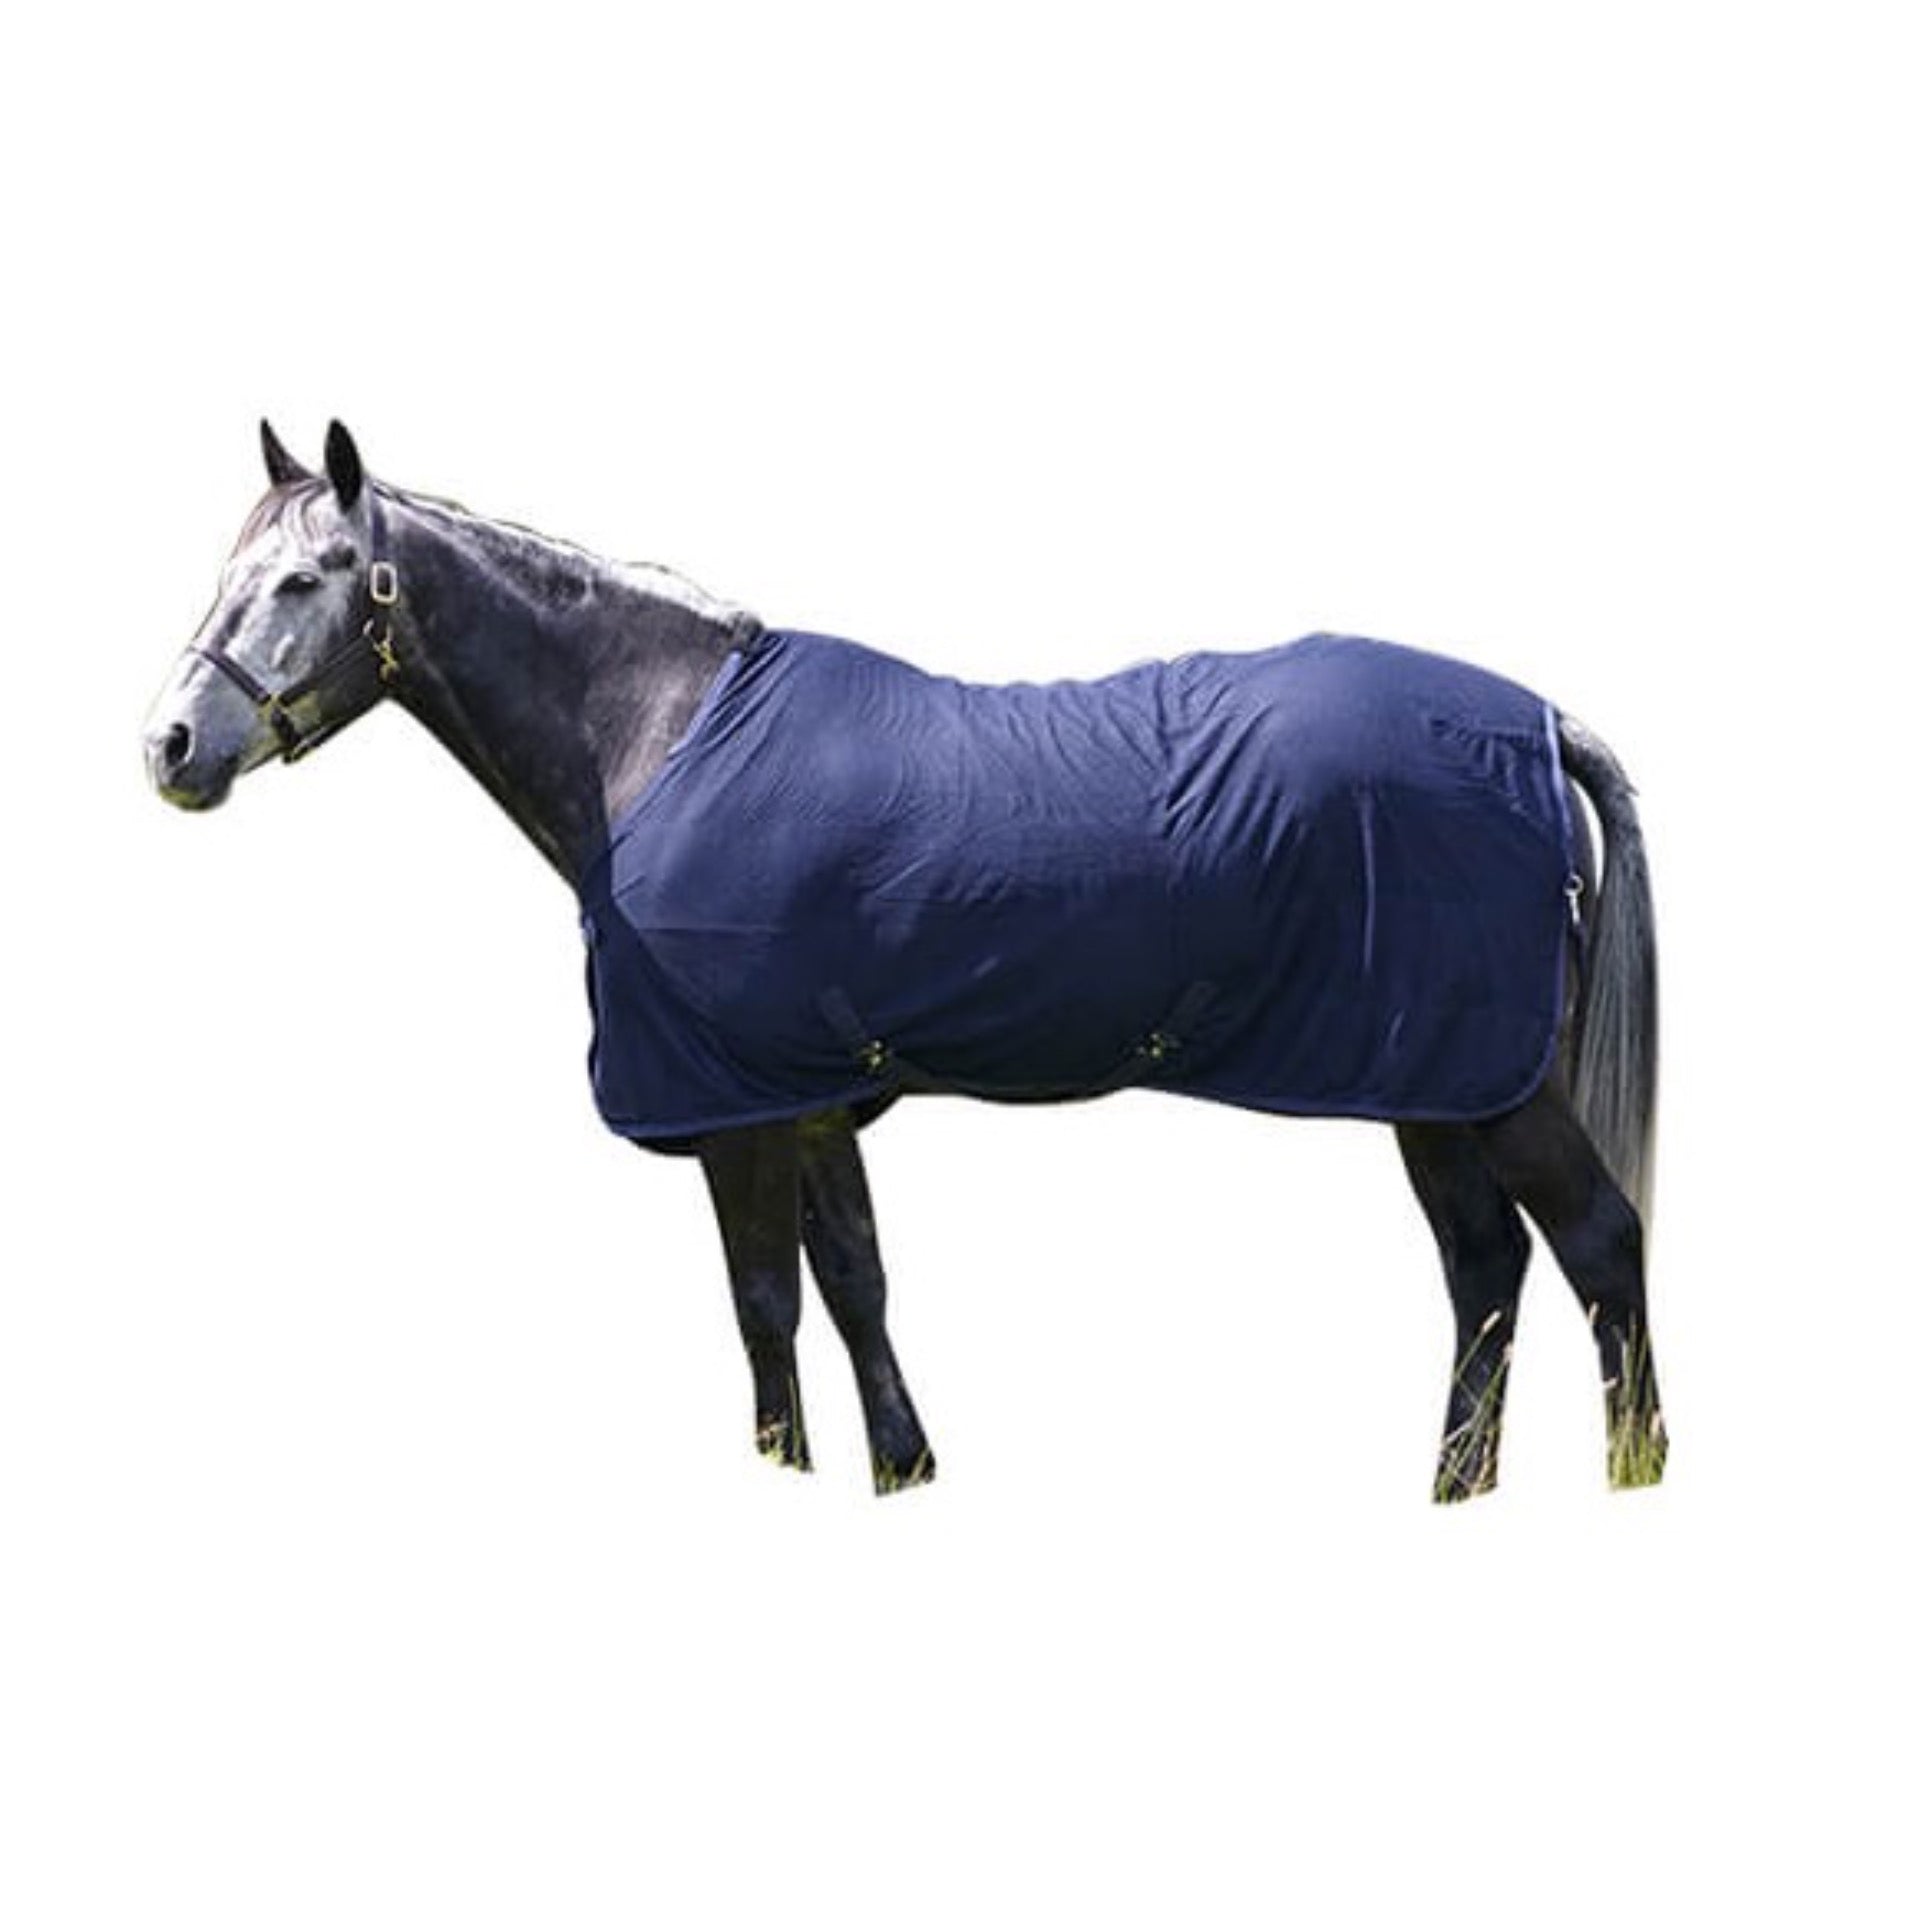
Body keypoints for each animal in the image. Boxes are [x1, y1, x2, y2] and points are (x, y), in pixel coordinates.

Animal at [143, 420, 1666, 1500]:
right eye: (225, 574)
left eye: (303, 578)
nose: (170, 747)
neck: (657, 740)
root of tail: (1538, 727)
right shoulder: (813, 1100)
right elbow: (848, 1286)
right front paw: (899, 1471)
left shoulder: (739, 1110)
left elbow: (769, 1305)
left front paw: (804, 1475)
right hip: (1435, 1081)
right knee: (1485, 1270)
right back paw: (1453, 1490)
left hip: (1494, 1084)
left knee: (1598, 1246)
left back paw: (1628, 1473)